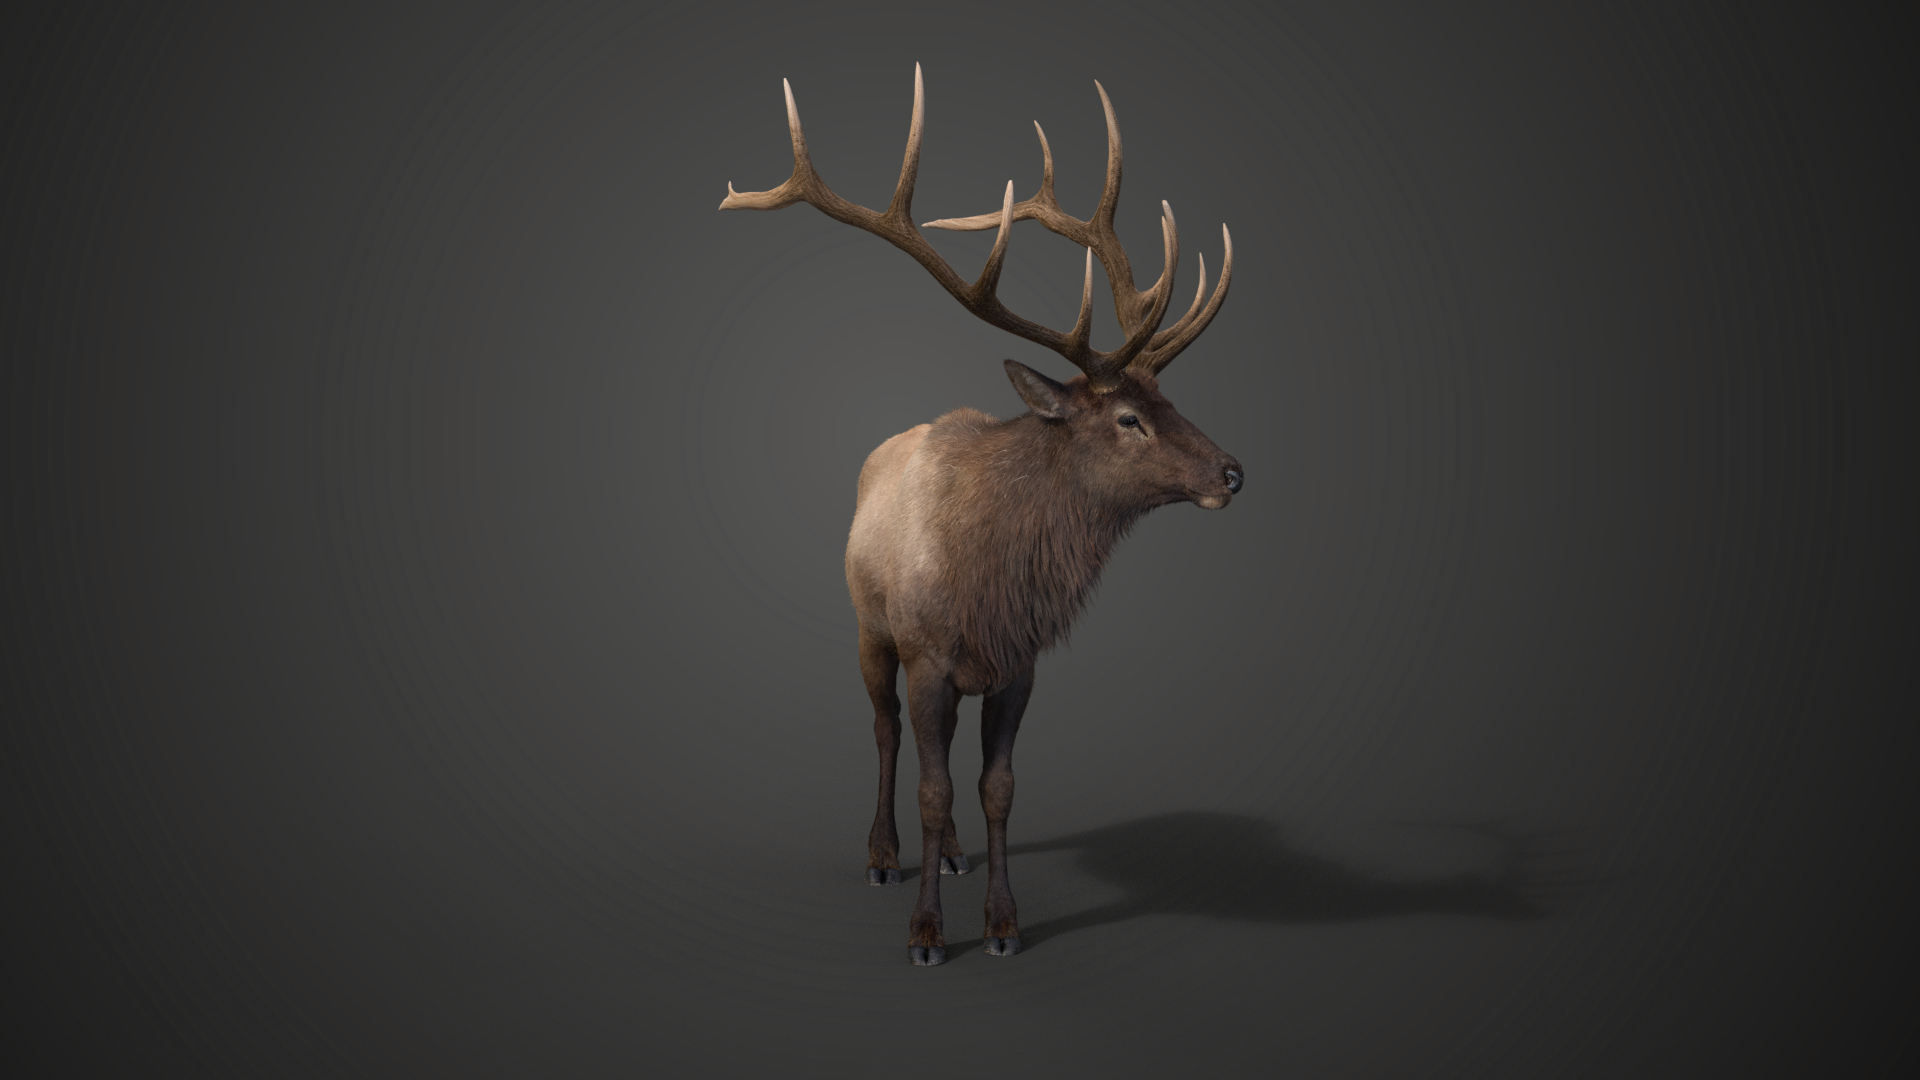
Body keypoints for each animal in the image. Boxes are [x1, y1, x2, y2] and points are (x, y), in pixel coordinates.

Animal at [720, 66, 1241, 966]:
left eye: (1168, 401)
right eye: (1127, 419)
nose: (1232, 471)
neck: (994, 579)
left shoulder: (1019, 664)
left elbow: (997, 787)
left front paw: (1002, 923)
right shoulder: (927, 653)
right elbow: (930, 786)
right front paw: (926, 933)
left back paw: (955, 857)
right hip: (870, 630)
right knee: (886, 729)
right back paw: (883, 856)